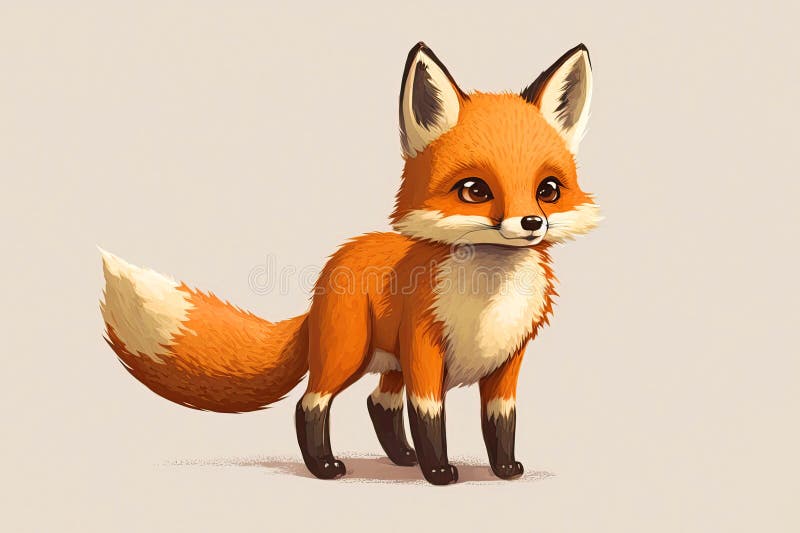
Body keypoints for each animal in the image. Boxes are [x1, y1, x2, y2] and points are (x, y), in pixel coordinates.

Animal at [100, 42, 600, 485]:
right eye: (475, 190)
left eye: (549, 190)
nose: (532, 223)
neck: (489, 295)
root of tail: (334, 262)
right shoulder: (424, 350)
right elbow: (429, 417)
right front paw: (438, 473)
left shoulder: (506, 361)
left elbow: (501, 423)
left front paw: (504, 469)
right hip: (349, 352)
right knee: (310, 403)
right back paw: (326, 467)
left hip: (388, 362)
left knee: (378, 403)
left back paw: (401, 457)